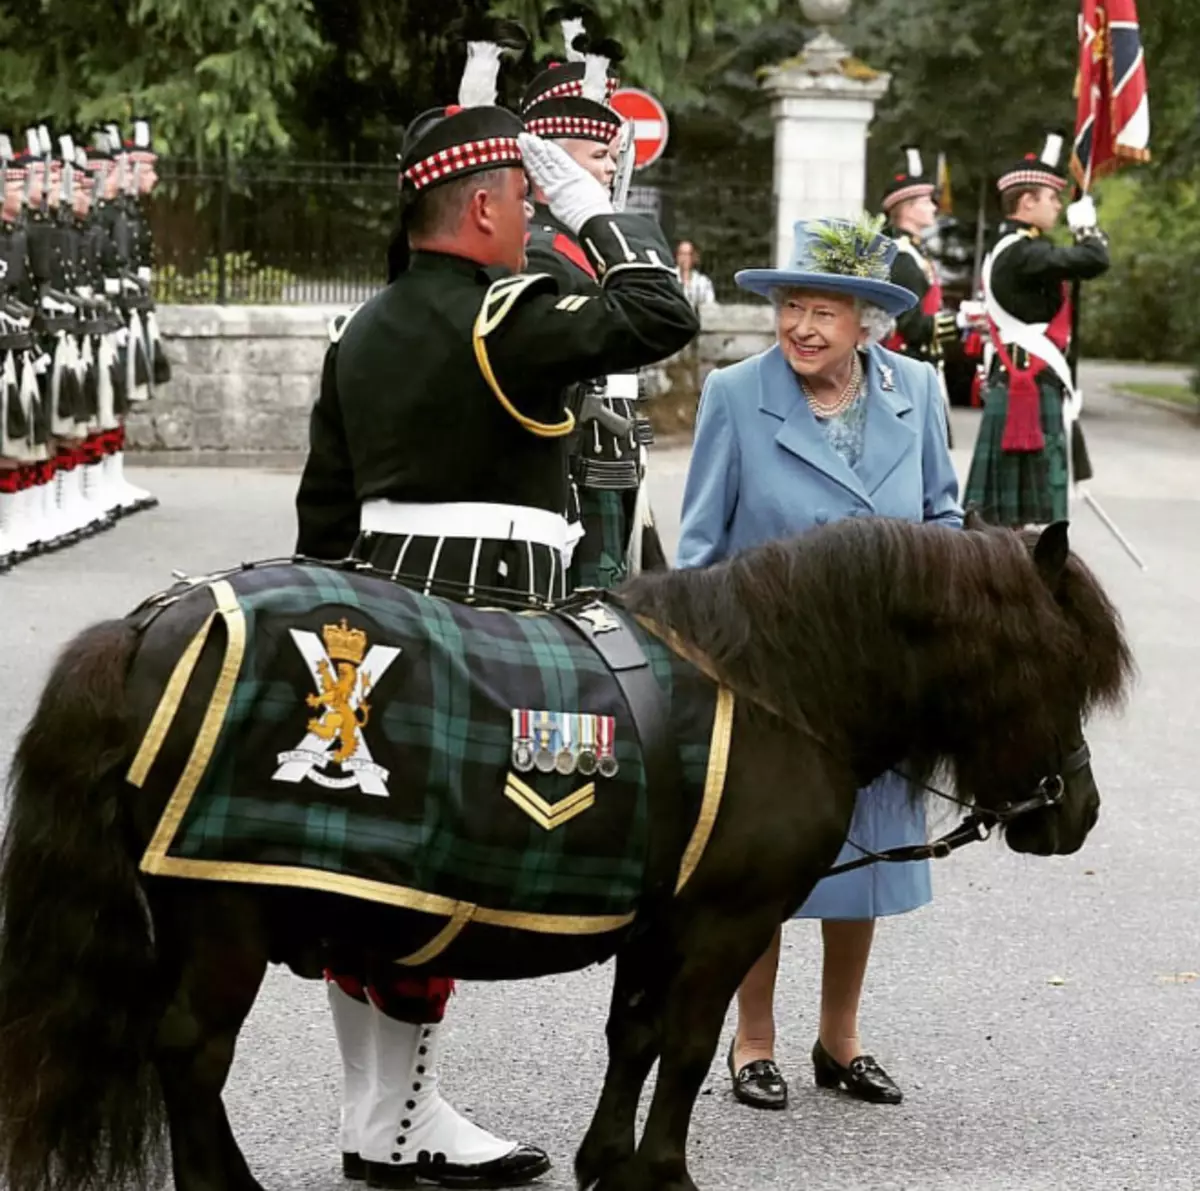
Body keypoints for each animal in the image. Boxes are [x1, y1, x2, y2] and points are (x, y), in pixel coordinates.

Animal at [0, 513, 1128, 1191]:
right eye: (1063, 663)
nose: (1075, 813)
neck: (773, 682)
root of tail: (147, 628)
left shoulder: (658, 920)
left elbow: (632, 1038)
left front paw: (607, 1162)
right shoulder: (723, 925)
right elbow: (686, 1047)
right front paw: (665, 1173)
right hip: (225, 919)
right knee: (191, 1054)